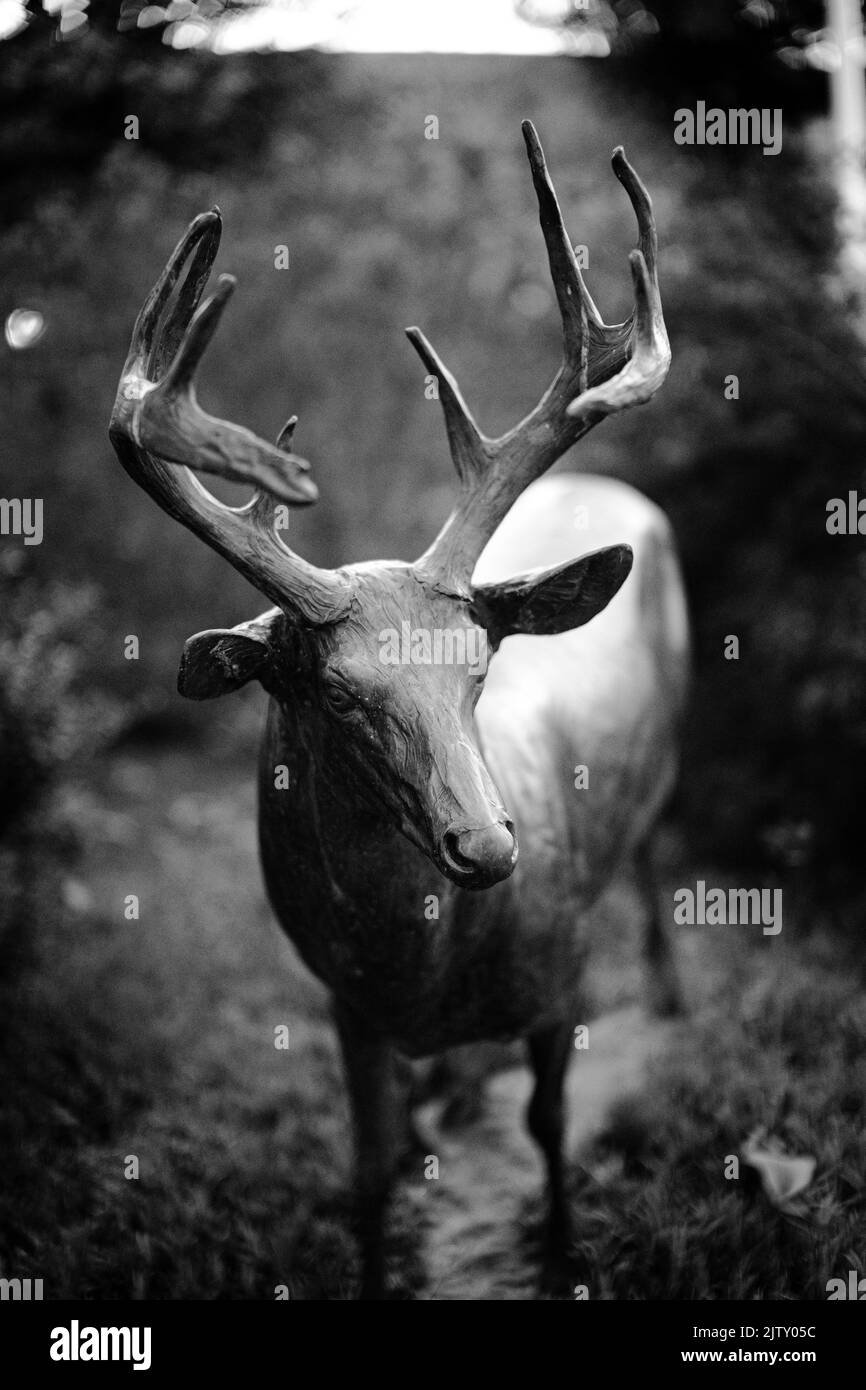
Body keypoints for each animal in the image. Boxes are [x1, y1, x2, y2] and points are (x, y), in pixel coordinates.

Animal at [109, 122, 688, 1300]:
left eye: (478, 668)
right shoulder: (345, 1009)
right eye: (333, 689)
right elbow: (369, 1173)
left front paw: (563, 1252)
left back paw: (669, 995)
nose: (489, 844)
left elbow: (550, 1127)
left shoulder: (563, 974)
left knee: (657, 847)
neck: (417, 977)